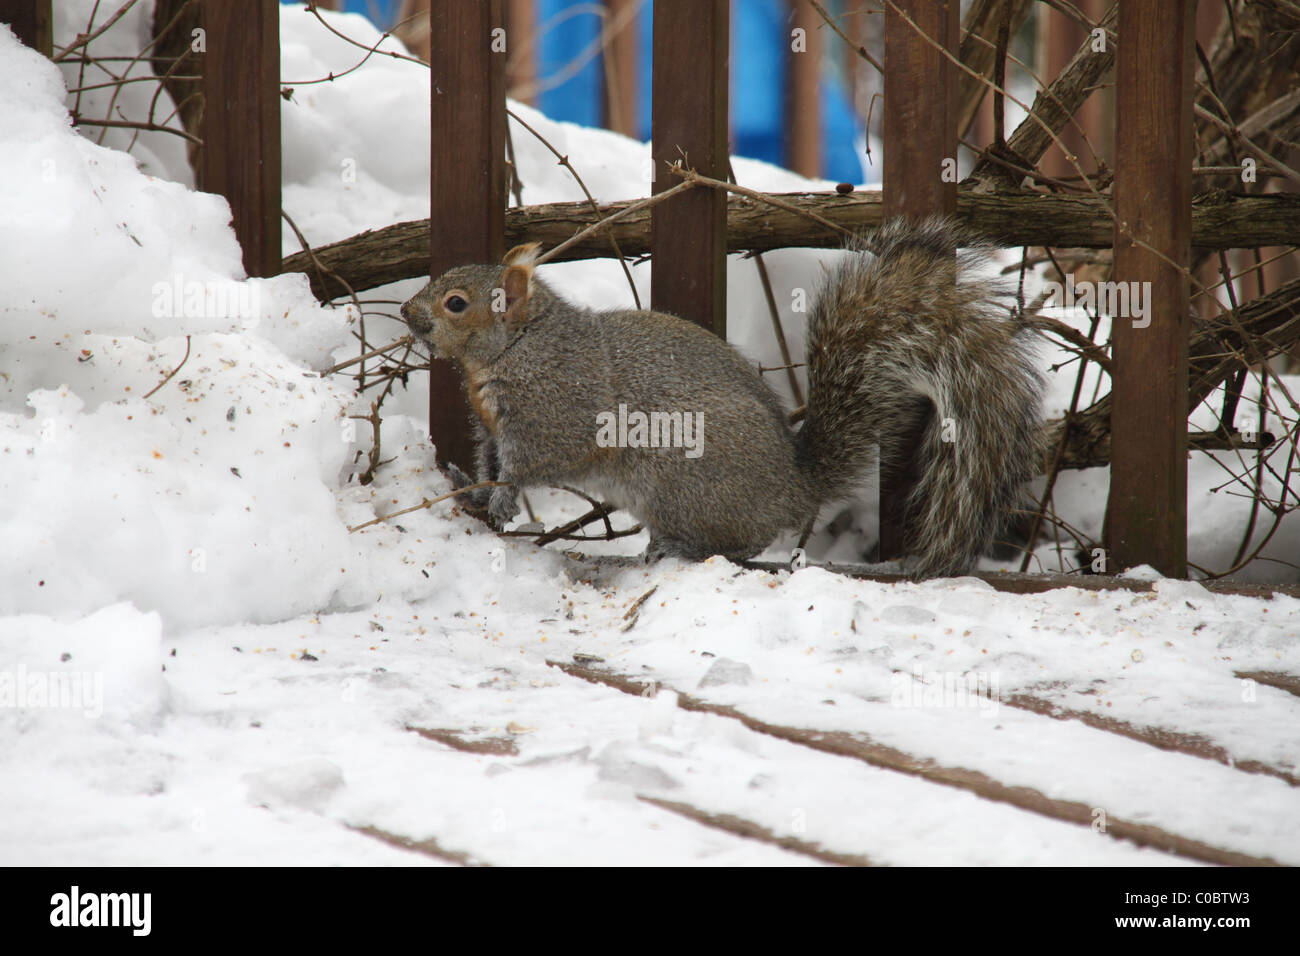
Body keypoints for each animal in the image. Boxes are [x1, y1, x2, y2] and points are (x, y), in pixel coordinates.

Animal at [399, 217, 1044, 578]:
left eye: (455, 303)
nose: (406, 311)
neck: (513, 348)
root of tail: (794, 487)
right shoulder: (492, 424)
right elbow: (490, 459)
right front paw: (470, 486)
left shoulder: (557, 410)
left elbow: (531, 463)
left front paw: (504, 499)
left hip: (684, 481)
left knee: (740, 544)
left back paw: (678, 547)